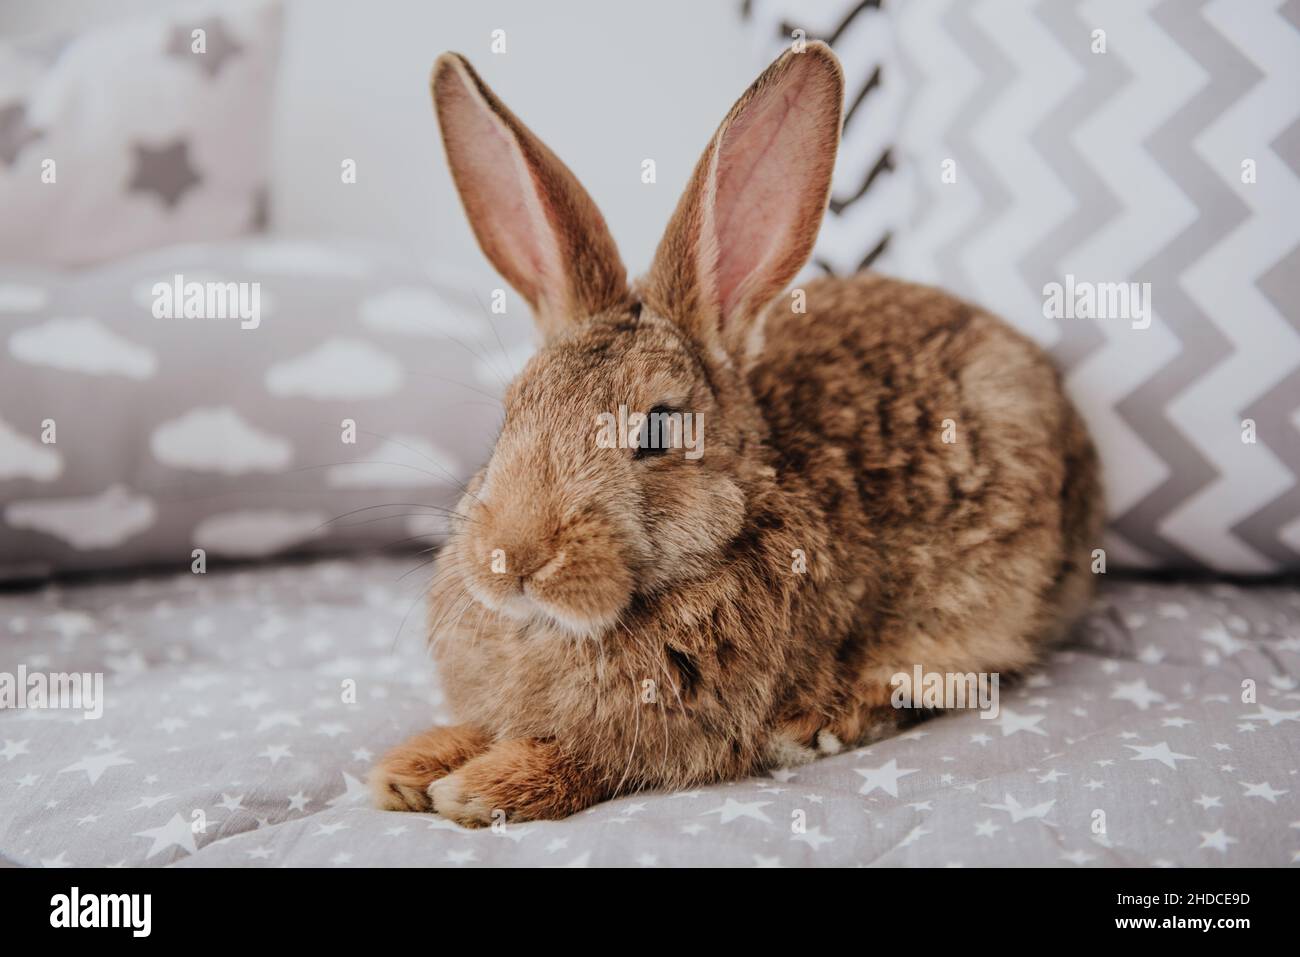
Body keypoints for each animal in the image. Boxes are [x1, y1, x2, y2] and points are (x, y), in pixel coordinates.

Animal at [369, 41, 1104, 825]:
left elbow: (587, 759)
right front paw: (409, 767)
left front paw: (483, 786)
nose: (513, 556)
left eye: (661, 428)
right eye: (511, 412)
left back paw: (823, 722)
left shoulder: (676, 735)